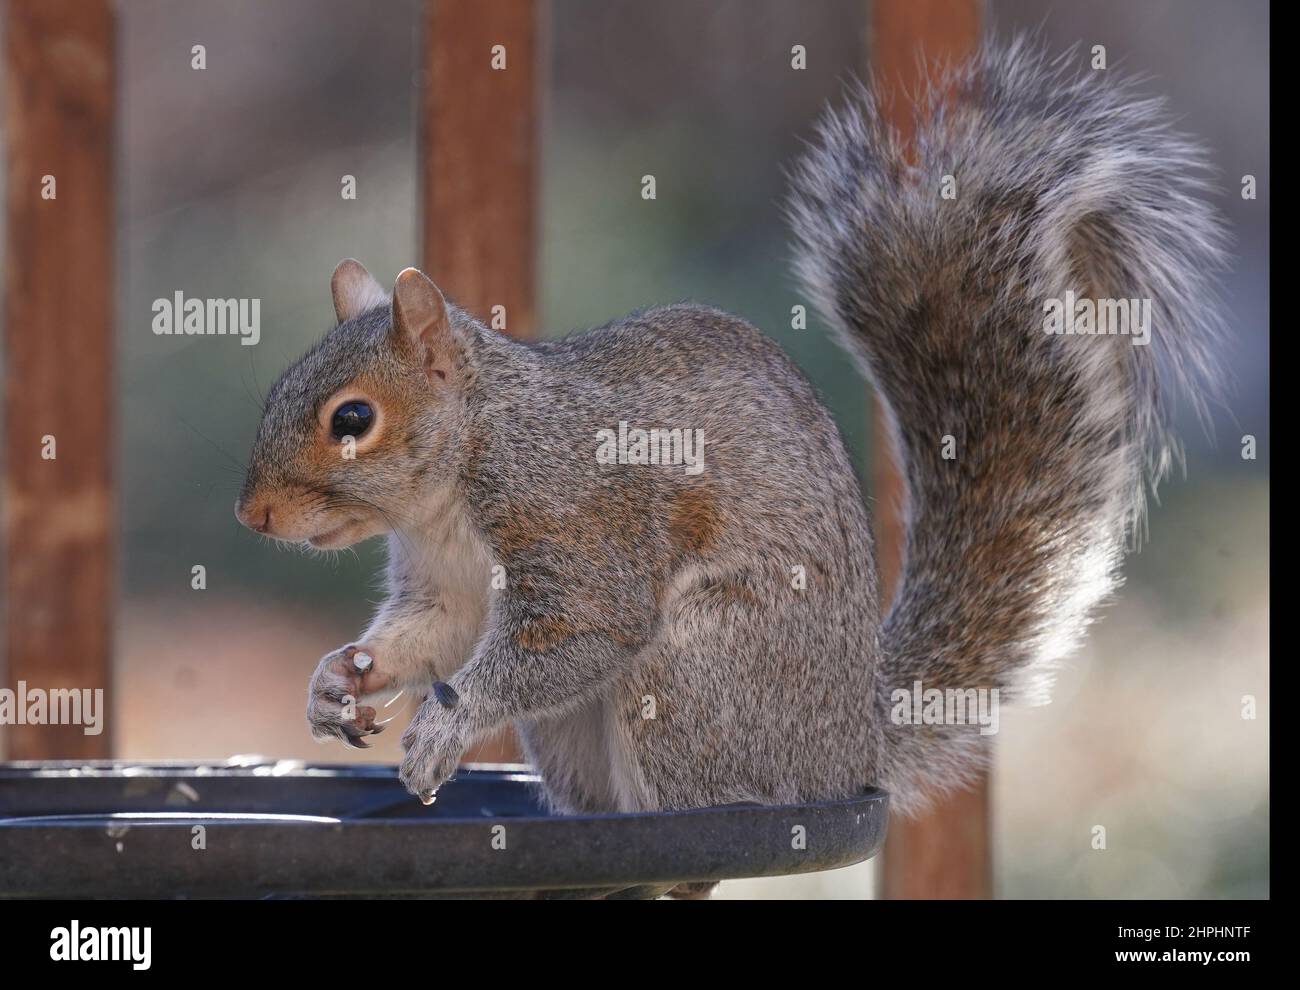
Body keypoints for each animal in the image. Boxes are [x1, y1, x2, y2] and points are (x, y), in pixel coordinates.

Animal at [236, 39, 1225, 824]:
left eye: (353, 418)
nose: (253, 517)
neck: (460, 475)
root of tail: (849, 750)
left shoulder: (577, 521)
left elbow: (577, 630)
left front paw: (445, 724)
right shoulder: (445, 584)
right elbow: (433, 635)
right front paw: (340, 679)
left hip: (693, 675)